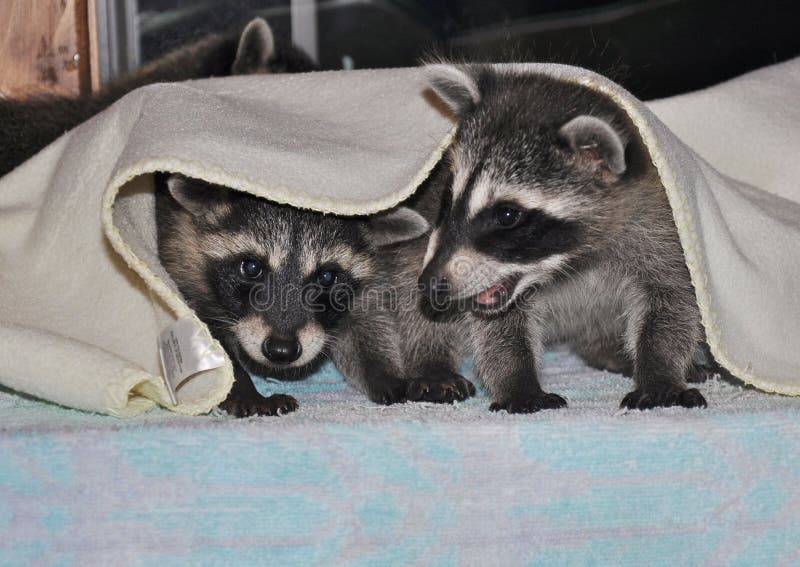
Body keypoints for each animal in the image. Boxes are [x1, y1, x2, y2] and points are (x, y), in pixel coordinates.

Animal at [156, 173, 475, 417]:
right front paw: (242, 387)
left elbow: (364, 326)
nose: (281, 350)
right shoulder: (181, 251)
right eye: (251, 267)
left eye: (326, 277)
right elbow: (207, 334)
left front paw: (384, 372)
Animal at [418, 63, 711, 413]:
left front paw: (661, 372)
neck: (575, 259)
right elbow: (500, 328)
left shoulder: (660, 225)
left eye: (507, 215)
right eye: (447, 199)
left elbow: (671, 302)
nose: (430, 283)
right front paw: (517, 381)